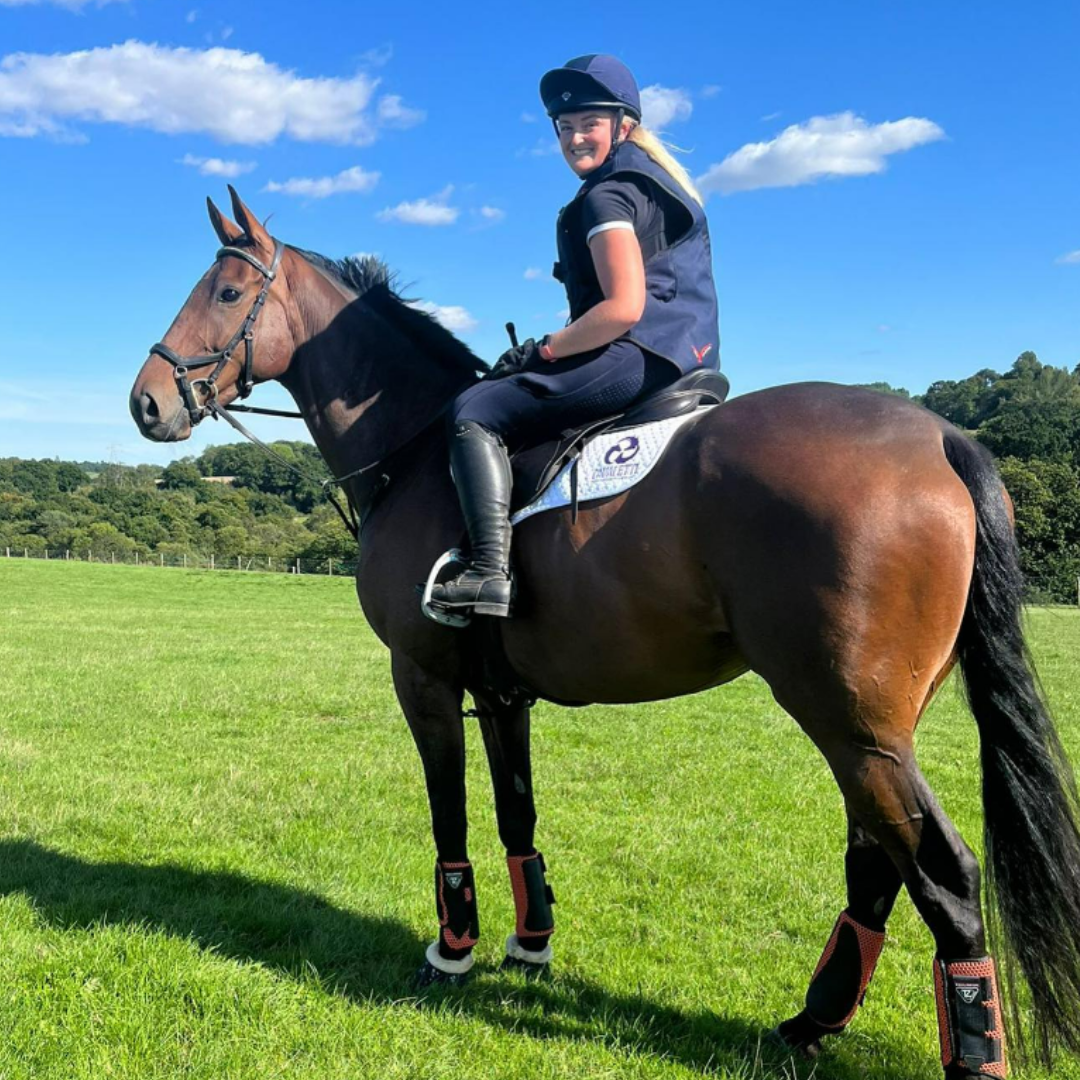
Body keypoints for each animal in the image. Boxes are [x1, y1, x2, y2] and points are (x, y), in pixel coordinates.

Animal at [130, 187, 1080, 1077]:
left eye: (225, 291)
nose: (146, 401)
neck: (419, 450)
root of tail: (940, 438)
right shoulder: (502, 697)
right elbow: (516, 814)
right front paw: (530, 942)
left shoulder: (424, 681)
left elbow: (449, 817)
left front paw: (453, 950)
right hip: (876, 730)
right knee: (881, 863)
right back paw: (812, 1021)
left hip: (851, 725)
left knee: (943, 874)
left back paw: (970, 1051)